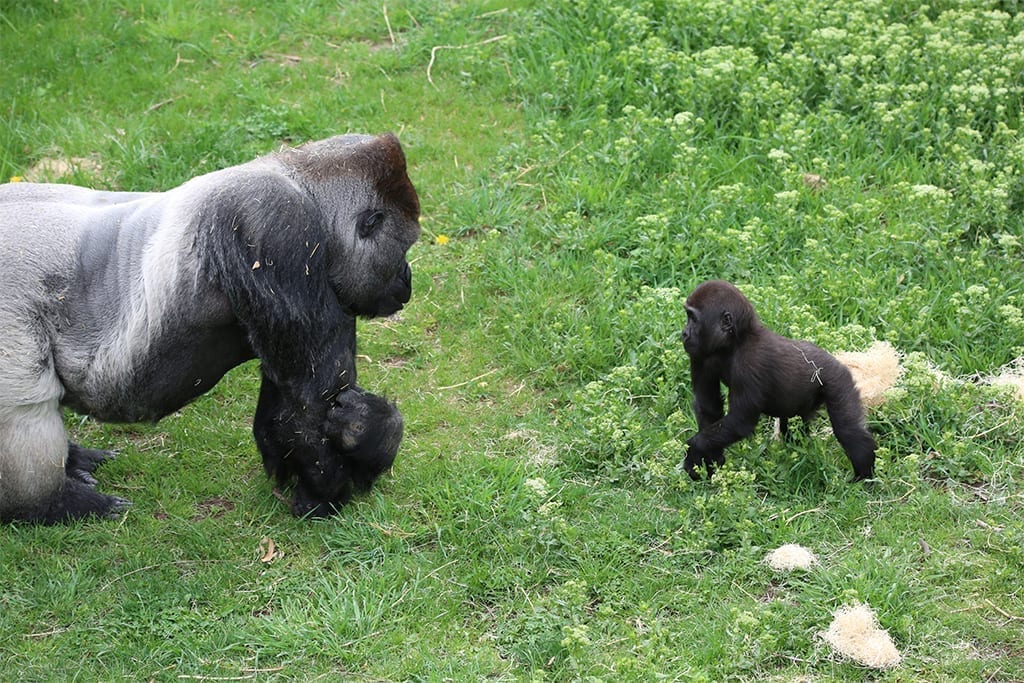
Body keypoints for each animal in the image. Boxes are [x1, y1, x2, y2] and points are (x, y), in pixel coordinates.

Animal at [0, 133, 419, 524]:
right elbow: (309, 403)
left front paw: (371, 429)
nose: (407, 279)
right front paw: (326, 492)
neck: (301, 184)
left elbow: (285, 409)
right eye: (405, 248)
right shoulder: (278, 226)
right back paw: (56, 503)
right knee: (23, 415)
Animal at [680, 280, 876, 482]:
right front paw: (710, 462)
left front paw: (695, 449)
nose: (684, 333)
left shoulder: (751, 363)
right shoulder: (700, 354)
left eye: (693, 319)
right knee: (795, 427)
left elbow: (740, 421)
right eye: (688, 316)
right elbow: (708, 407)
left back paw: (864, 477)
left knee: (848, 431)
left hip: (838, 380)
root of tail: (839, 361)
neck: (736, 341)